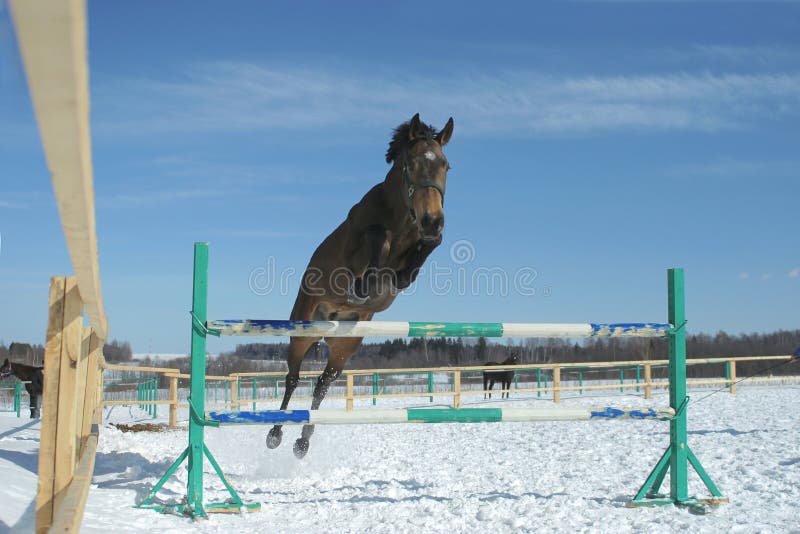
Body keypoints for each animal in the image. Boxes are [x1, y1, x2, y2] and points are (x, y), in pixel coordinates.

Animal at [266, 113, 454, 458]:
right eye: (411, 164)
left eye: (446, 165)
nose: (433, 219)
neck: (402, 217)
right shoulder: (358, 243)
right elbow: (379, 235)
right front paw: (363, 285)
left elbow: (425, 250)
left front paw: (403, 269)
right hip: (303, 330)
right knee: (293, 378)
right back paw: (274, 434)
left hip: (346, 344)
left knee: (323, 383)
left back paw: (303, 442)